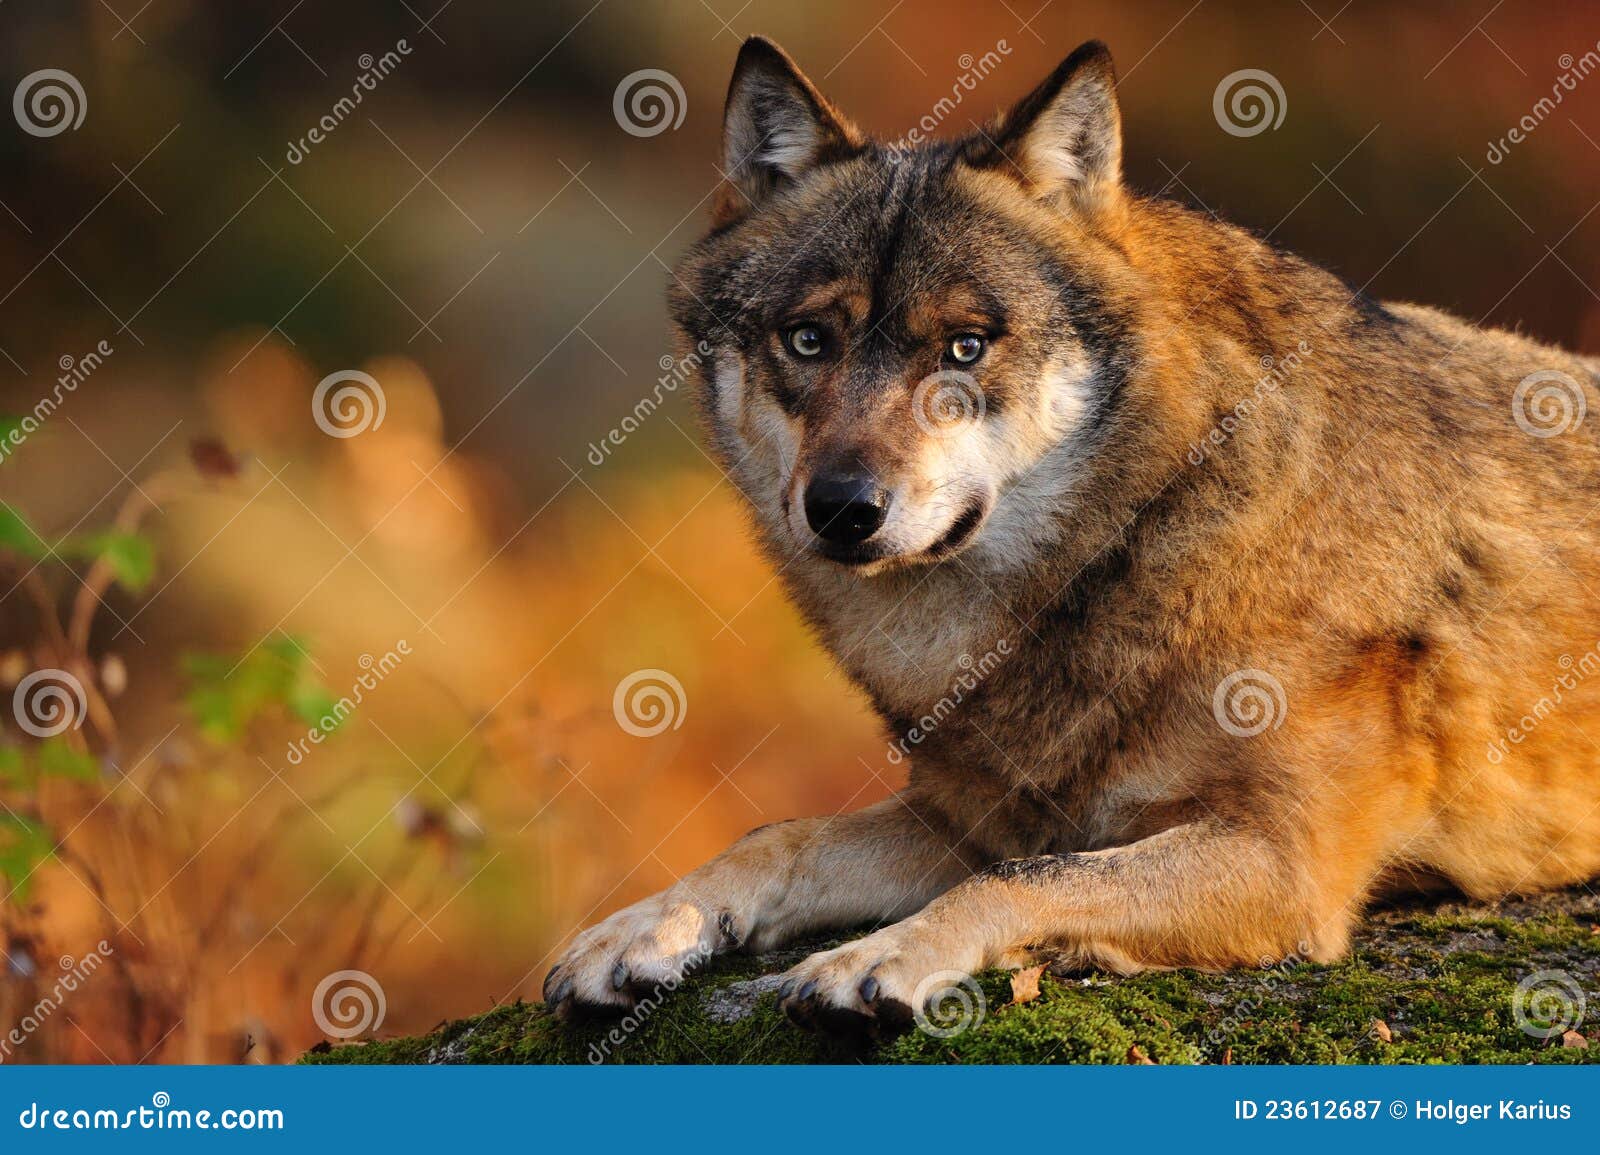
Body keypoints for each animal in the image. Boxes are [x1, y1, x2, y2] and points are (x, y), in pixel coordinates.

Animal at [546, 37, 1600, 1036]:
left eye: (966, 346)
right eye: (808, 340)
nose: (843, 507)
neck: (1142, 528)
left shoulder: (1281, 858)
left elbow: (1024, 880)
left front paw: (872, 959)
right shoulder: (975, 814)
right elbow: (780, 835)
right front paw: (643, 928)